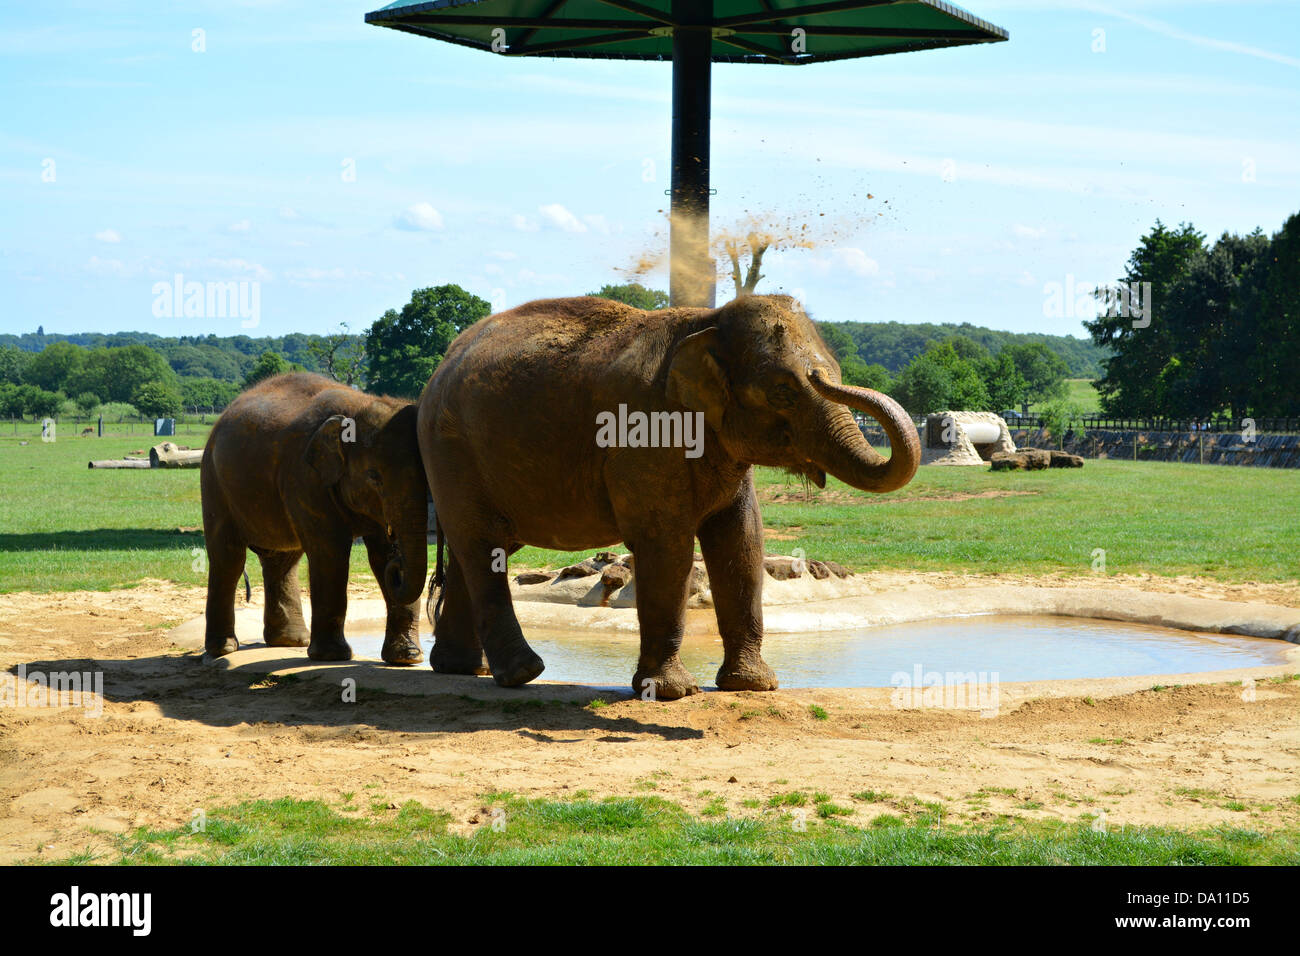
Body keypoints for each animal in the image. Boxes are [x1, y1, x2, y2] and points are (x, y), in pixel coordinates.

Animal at [201, 372, 429, 665]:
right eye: (374, 477)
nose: (398, 571)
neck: (358, 405)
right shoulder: (305, 477)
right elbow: (330, 551)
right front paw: (333, 657)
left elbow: (382, 553)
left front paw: (407, 658)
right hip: (213, 480)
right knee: (228, 557)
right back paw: (224, 649)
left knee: (281, 560)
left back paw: (290, 641)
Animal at [416, 293, 920, 699]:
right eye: (783, 390)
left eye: (831, 375)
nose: (825, 377)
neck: (706, 322)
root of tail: (441, 366)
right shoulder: (643, 428)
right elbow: (667, 543)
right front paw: (672, 692)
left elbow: (742, 539)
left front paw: (753, 686)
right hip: (452, 453)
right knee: (481, 546)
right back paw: (522, 673)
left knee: (483, 548)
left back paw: (466, 669)